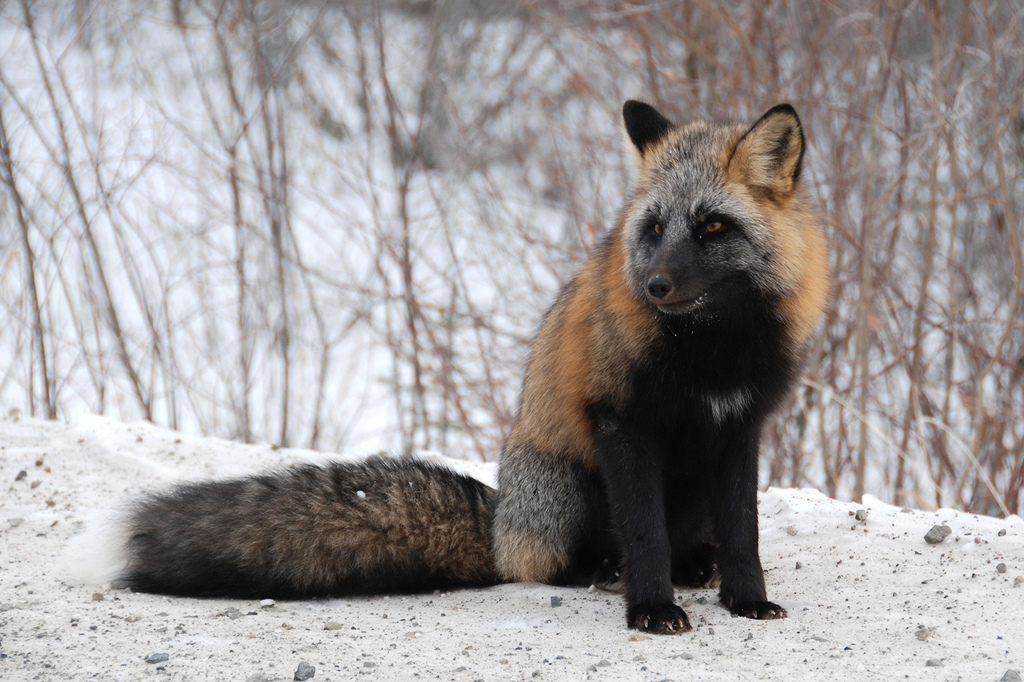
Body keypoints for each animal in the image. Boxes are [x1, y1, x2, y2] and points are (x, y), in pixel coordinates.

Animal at [73, 100, 829, 635]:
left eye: (711, 227)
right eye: (654, 229)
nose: (654, 287)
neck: (709, 354)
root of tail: (499, 528)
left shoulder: (740, 428)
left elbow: (744, 534)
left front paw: (746, 600)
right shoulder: (622, 421)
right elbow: (645, 533)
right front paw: (651, 610)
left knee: (692, 541)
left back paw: (694, 566)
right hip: (567, 485)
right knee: (561, 563)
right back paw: (607, 570)